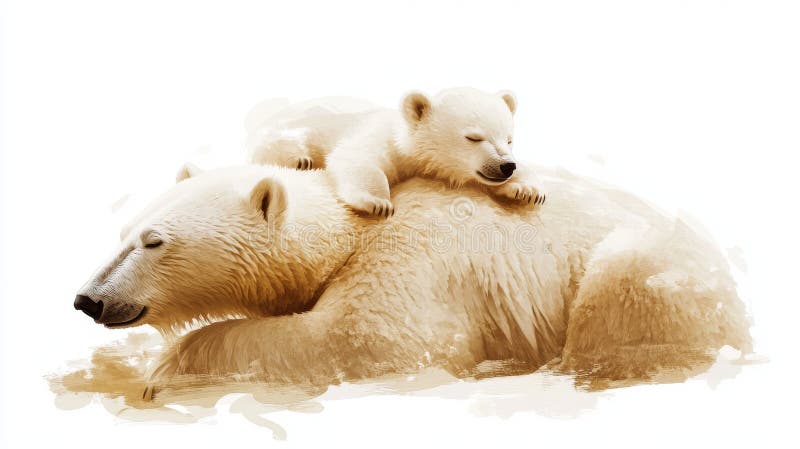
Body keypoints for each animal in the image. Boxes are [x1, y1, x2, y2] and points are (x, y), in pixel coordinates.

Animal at [73, 163, 751, 398]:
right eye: (123, 231)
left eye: (153, 241)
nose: (89, 299)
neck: (357, 219)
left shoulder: (413, 258)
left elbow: (365, 342)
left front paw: (165, 370)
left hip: (651, 272)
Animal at [247, 88, 545, 218]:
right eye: (474, 137)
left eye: (509, 140)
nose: (506, 166)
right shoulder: (383, 138)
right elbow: (357, 158)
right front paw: (376, 203)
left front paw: (527, 190)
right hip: (294, 126)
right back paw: (300, 159)